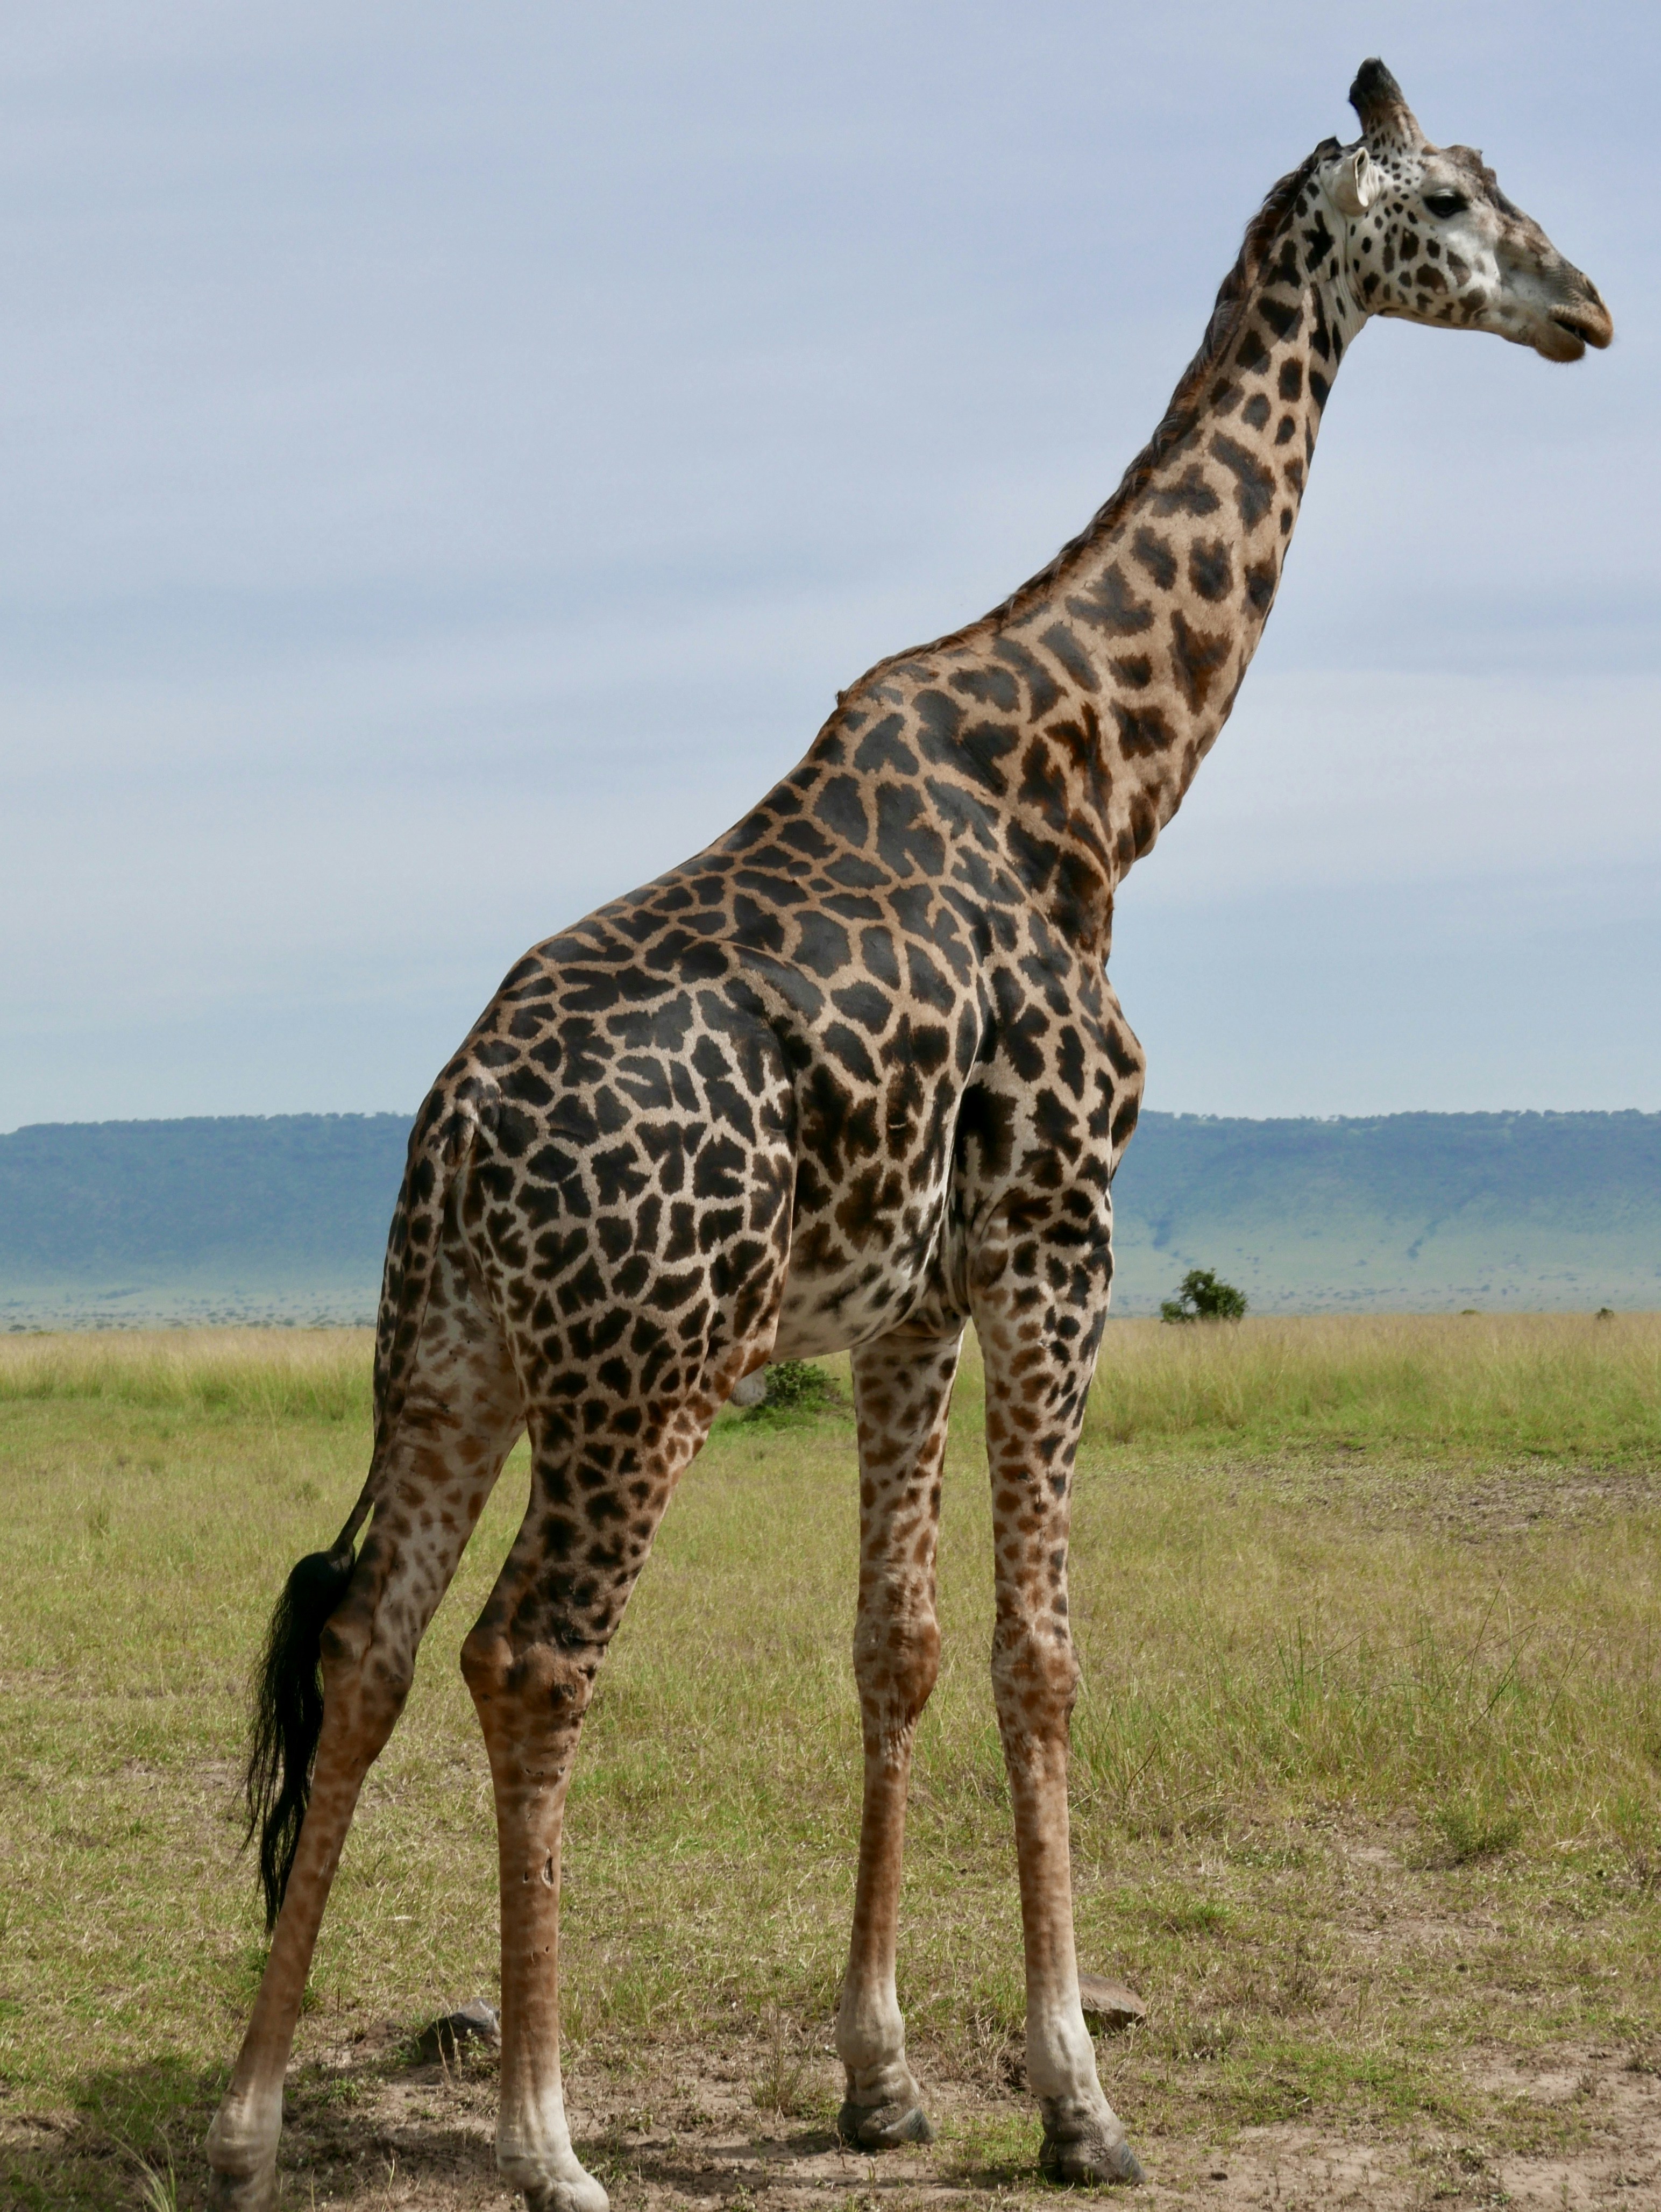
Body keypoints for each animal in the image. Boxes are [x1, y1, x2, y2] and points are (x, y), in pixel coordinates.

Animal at [207, 61, 1609, 2209]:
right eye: (1452, 196)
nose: (1586, 309)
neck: (1102, 774)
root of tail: (459, 1140)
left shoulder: (904, 1300)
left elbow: (902, 1639)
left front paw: (878, 2077)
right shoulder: (1058, 1234)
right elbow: (1041, 1649)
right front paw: (1077, 2094)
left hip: (448, 1356)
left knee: (365, 1641)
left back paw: (252, 2113)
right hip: (646, 1367)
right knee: (529, 1656)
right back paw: (544, 2133)